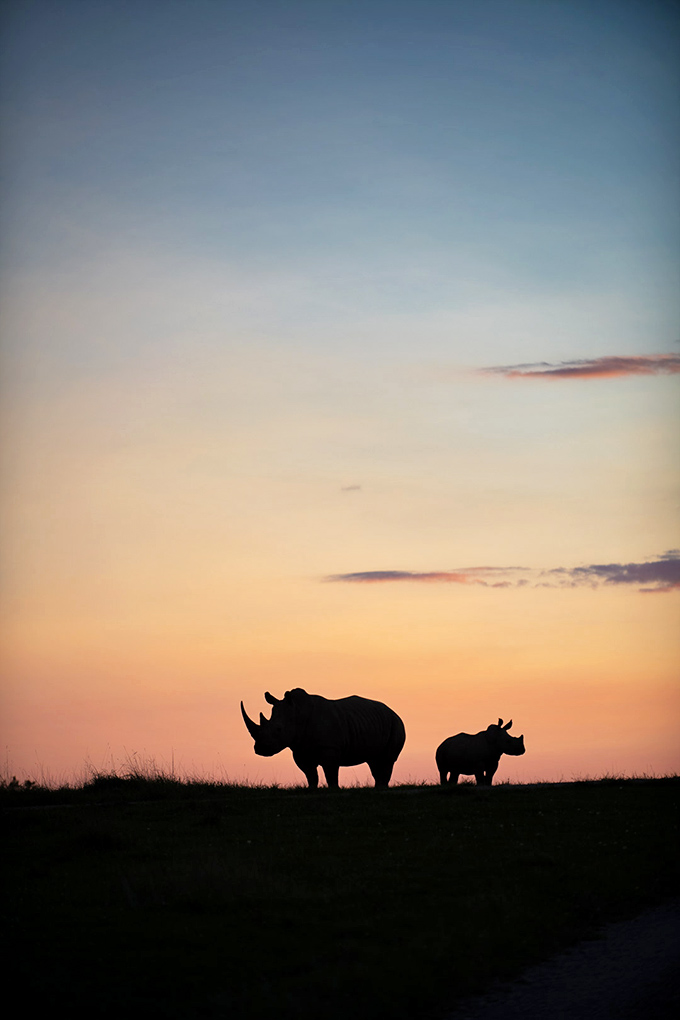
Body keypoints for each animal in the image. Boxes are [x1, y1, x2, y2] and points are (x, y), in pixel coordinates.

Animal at [240, 688, 406, 788]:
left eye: (278, 729)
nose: (260, 749)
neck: (296, 714)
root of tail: (392, 711)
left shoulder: (330, 747)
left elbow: (330, 772)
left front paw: (334, 789)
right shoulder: (299, 749)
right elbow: (310, 774)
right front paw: (311, 789)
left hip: (396, 723)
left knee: (387, 760)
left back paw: (382, 787)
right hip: (375, 722)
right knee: (373, 760)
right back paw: (378, 787)